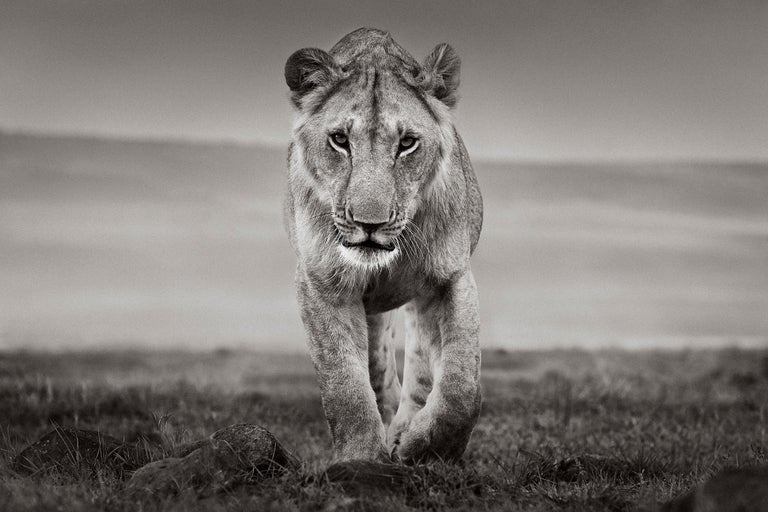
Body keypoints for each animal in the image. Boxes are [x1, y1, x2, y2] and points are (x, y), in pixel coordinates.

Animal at [283, 27, 482, 463]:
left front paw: (427, 448)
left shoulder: (453, 277)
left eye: (407, 143)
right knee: (377, 370)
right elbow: (344, 382)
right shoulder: (323, 283)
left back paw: (405, 430)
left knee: (422, 361)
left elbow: (462, 388)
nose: (368, 224)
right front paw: (360, 460)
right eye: (340, 140)